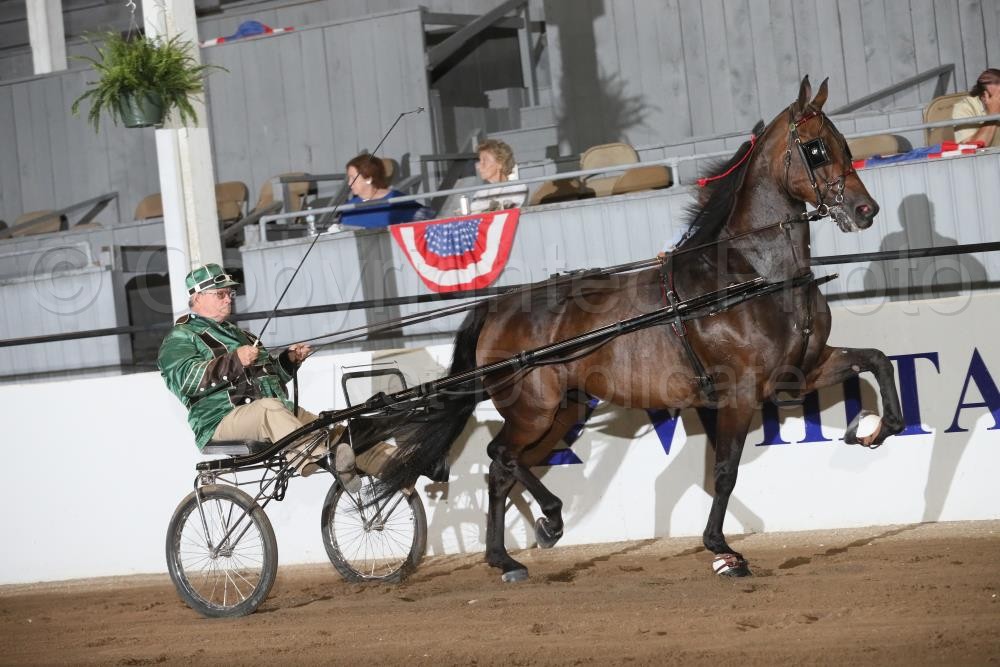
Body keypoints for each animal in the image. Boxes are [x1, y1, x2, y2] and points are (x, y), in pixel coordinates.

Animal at [375, 76, 905, 582]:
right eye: (816, 148)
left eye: (845, 143)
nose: (866, 210)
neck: (752, 275)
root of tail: (498, 305)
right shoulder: (740, 392)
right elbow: (725, 471)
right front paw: (722, 549)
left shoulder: (802, 370)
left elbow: (878, 360)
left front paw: (878, 429)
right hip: (533, 409)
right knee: (500, 455)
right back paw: (539, 527)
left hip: (562, 412)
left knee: (505, 467)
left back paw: (510, 554)